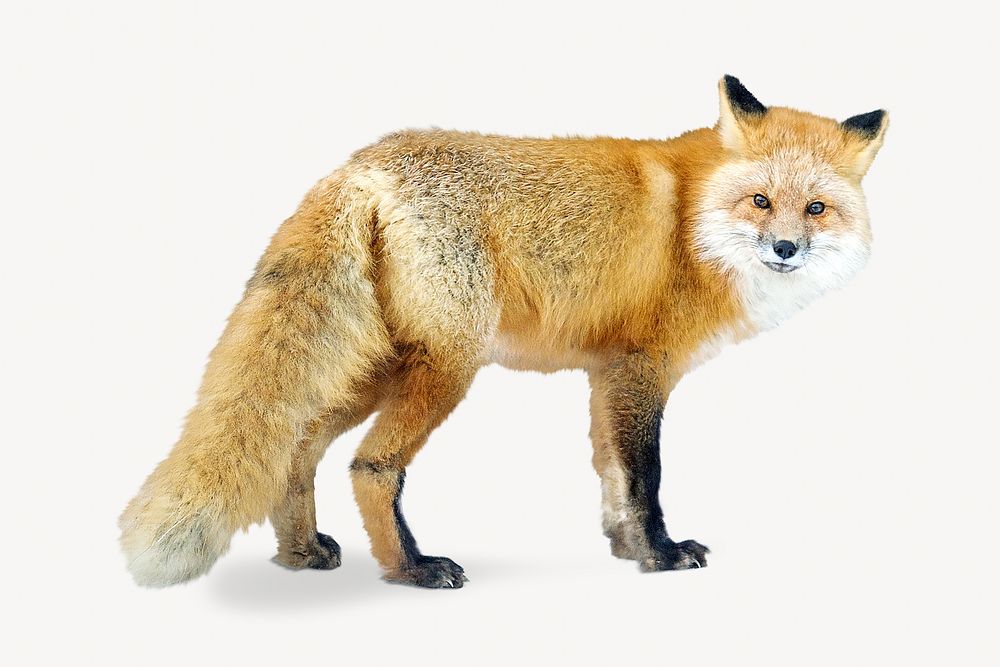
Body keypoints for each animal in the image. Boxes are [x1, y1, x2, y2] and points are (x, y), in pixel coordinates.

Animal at [119, 76, 887, 588]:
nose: (786, 248)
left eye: (816, 209)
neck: (695, 225)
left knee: (297, 449)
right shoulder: (641, 369)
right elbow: (645, 476)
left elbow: (610, 475)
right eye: (760, 201)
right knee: (370, 465)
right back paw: (412, 567)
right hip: (446, 368)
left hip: (375, 369)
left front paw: (624, 548)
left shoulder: (605, 376)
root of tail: (359, 166)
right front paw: (661, 554)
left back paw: (303, 553)